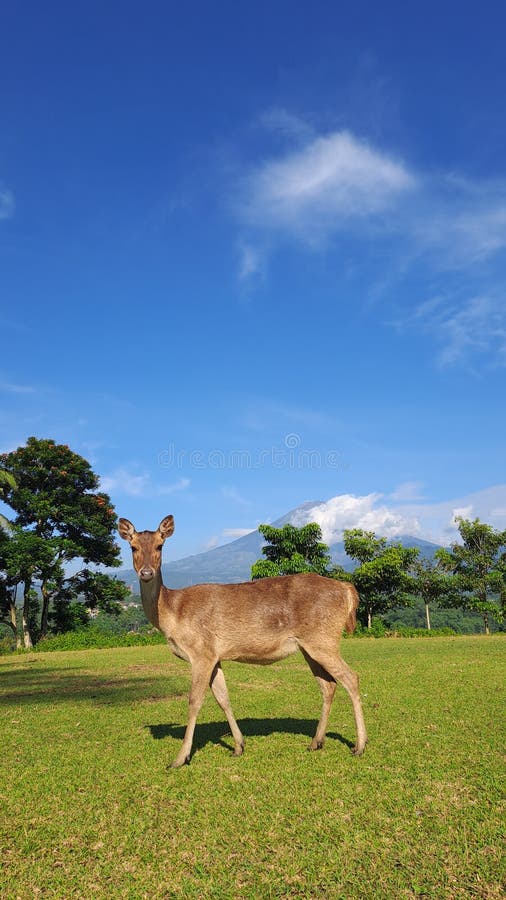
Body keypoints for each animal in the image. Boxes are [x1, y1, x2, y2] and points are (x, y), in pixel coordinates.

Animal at [118, 515, 367, 768]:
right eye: (133, 547)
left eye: (160, 545)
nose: (146, 573)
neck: (172, 614)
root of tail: (347, 590)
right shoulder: (215, 656)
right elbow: (223, 698)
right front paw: (239, 746)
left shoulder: (201, 652)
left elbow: (194, 700)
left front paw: (180, 758)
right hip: (310, 647)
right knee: (328, 685)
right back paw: (316, 742)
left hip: (324, 640)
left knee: (351, 678)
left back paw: (359, 745)